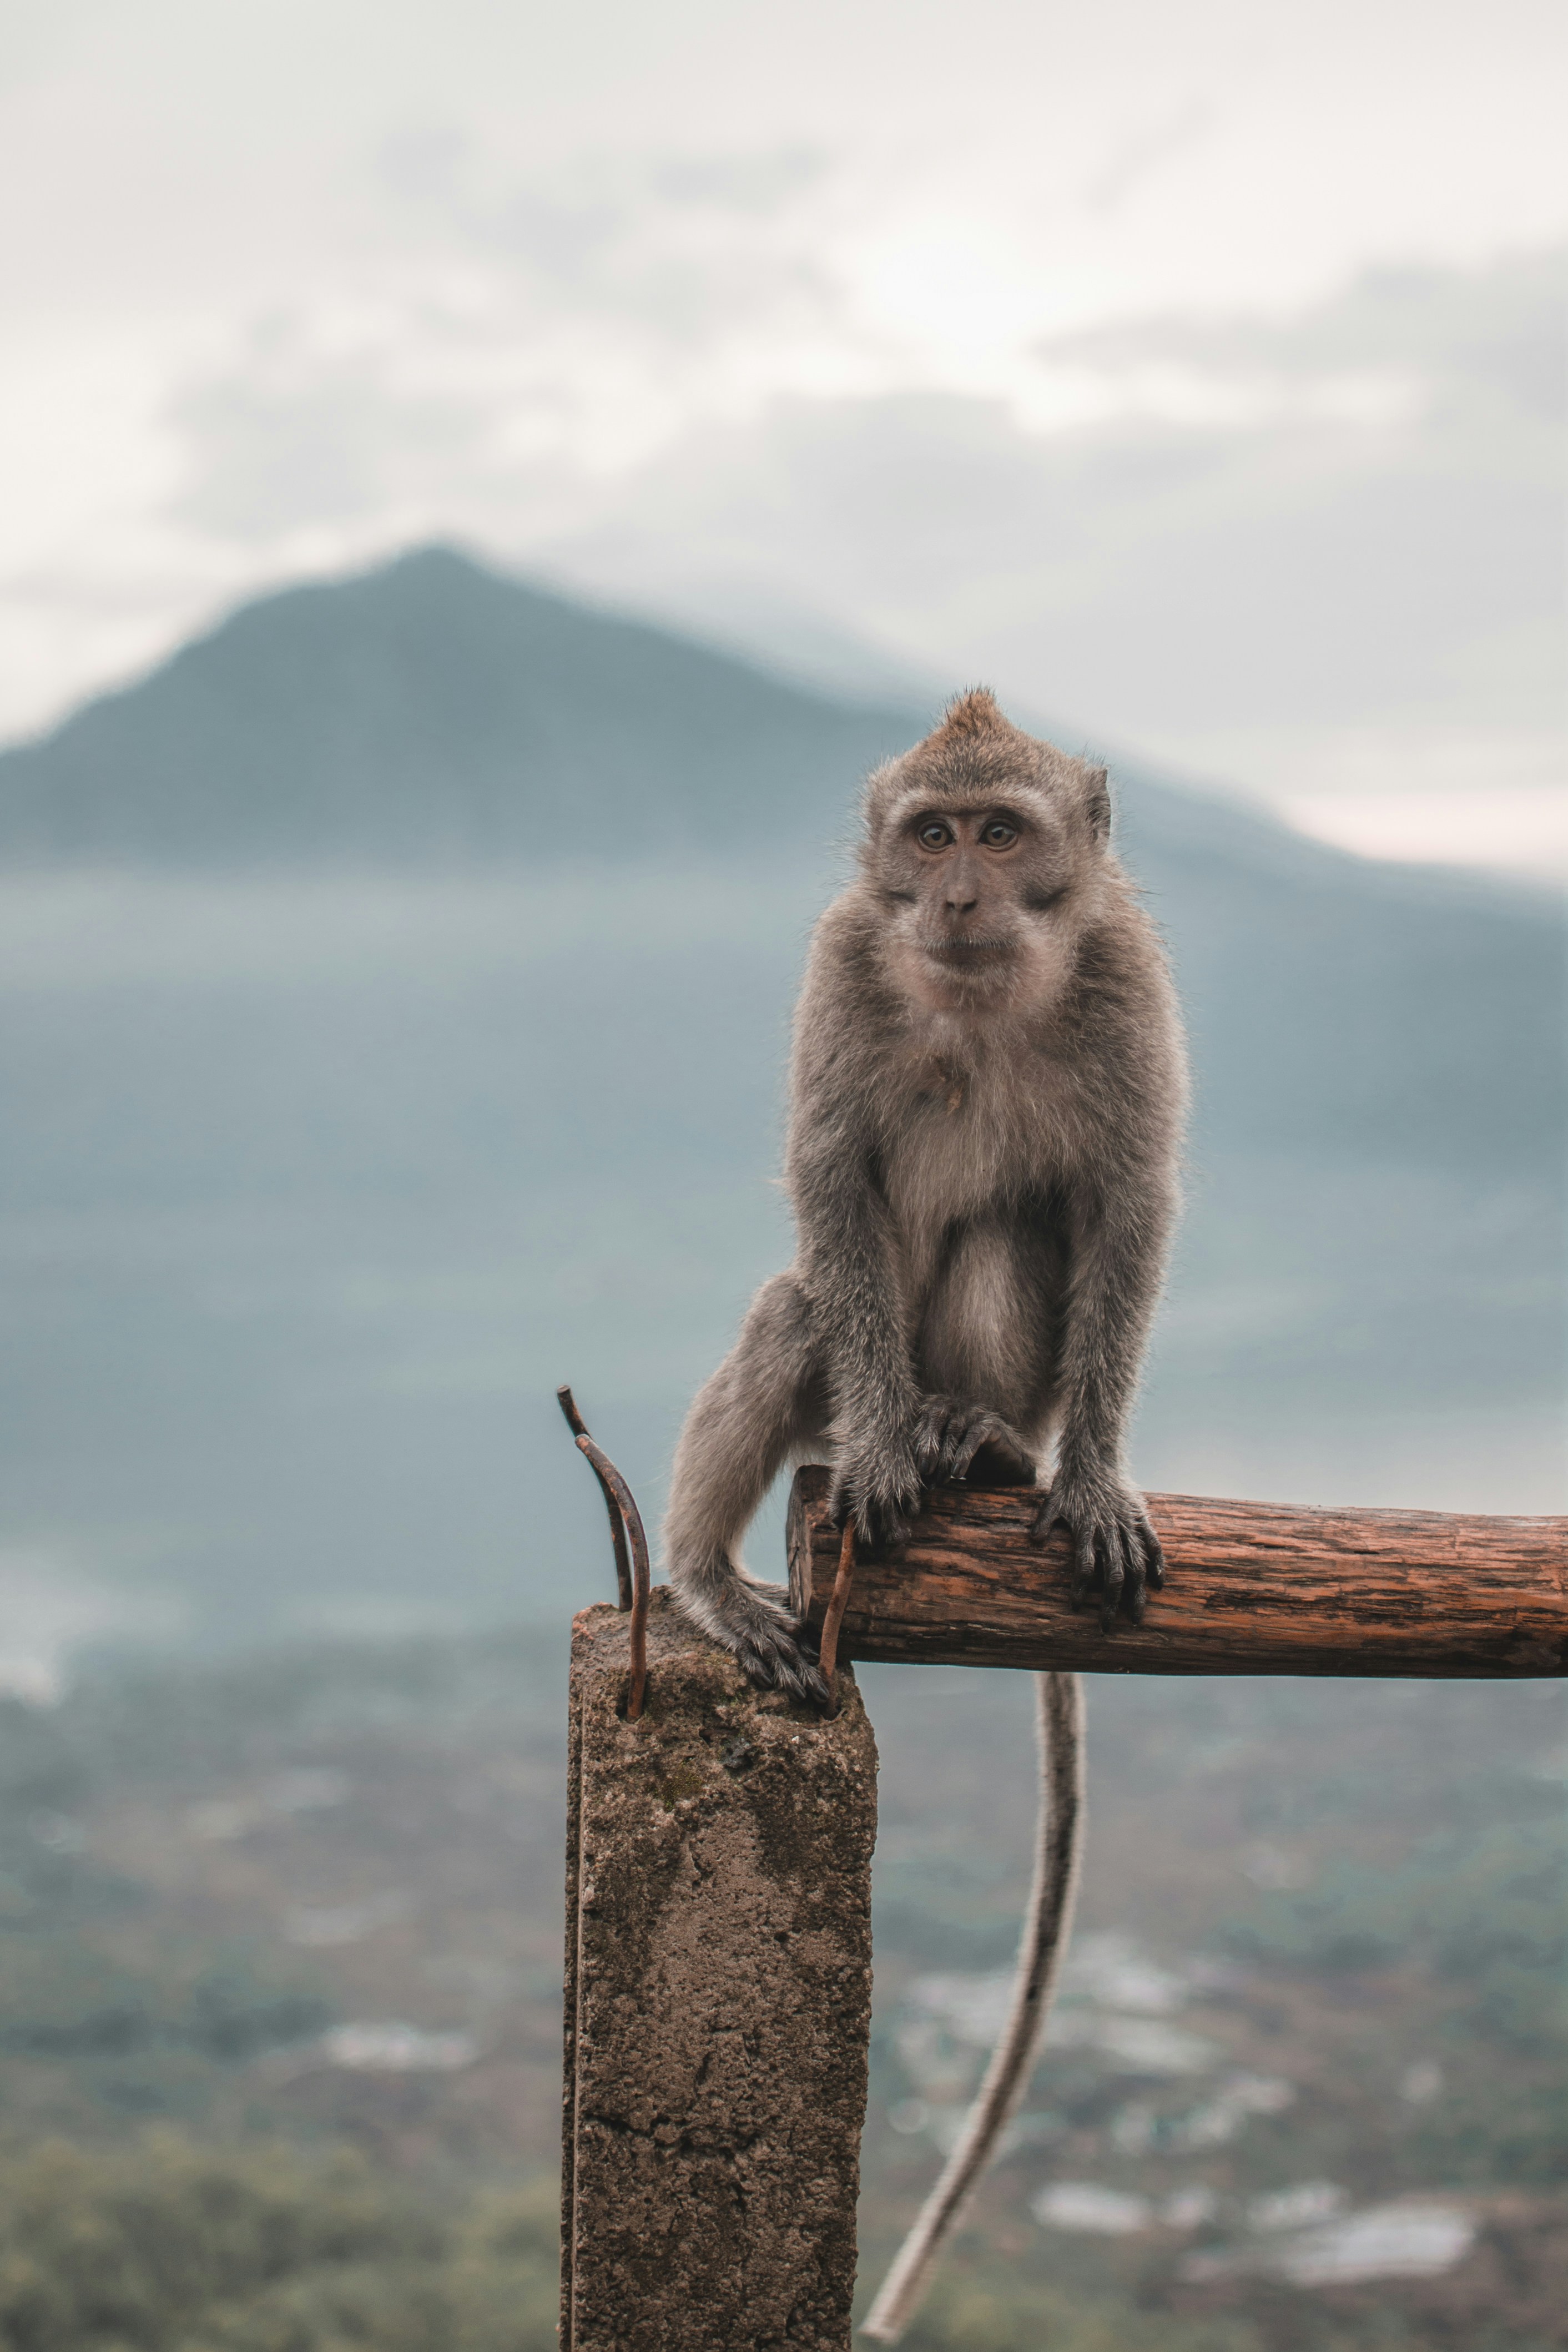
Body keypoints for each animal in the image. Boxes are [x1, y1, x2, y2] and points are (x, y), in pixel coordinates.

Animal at [662, 688, 1186, 2336]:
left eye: (1001, 833)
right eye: (933, 831)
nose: (953, 894)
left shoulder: (1122, 972)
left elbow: (1127, 1201)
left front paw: (1094, 1470)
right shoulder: (846, 954)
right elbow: (832, 1172)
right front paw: (886, 1447)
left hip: (1003, 1368)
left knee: (1022, 1227)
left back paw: (985, 1443)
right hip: (839, 1370)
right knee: (798, 1311)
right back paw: (725, 1561)